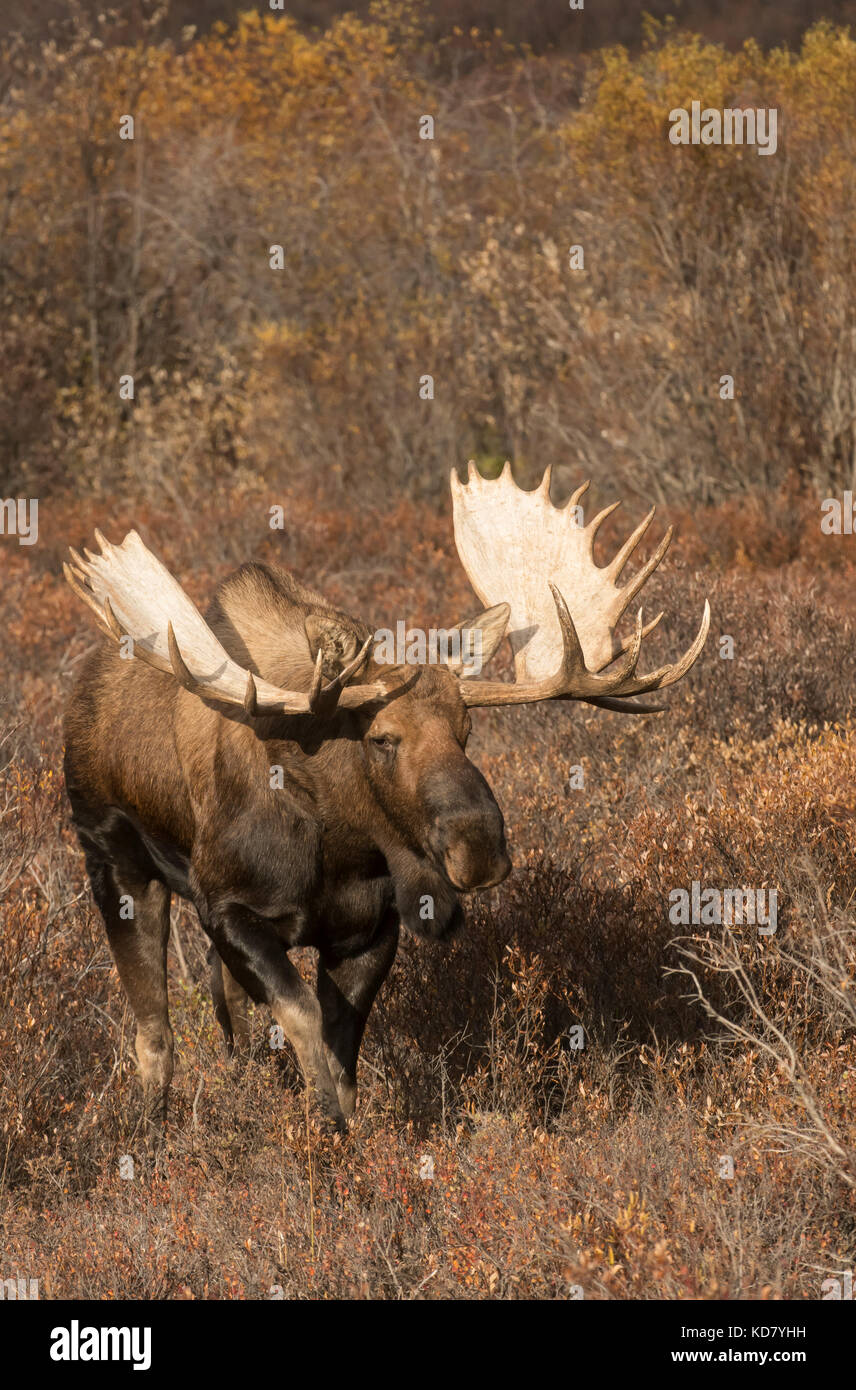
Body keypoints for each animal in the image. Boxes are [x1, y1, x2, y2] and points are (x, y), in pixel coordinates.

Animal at [62, 463, 709, 1138]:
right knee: (154, 1033)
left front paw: (340, 1131)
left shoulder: (371, 929)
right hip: (114, 861)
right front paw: (321, 1132)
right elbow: (301, 1018)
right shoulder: (229, 908)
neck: (338, 844)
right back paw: (150, 1132)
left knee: (226, 1012)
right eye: (382, 738)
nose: (479, 846)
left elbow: (342, 1054)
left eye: (466, 729)